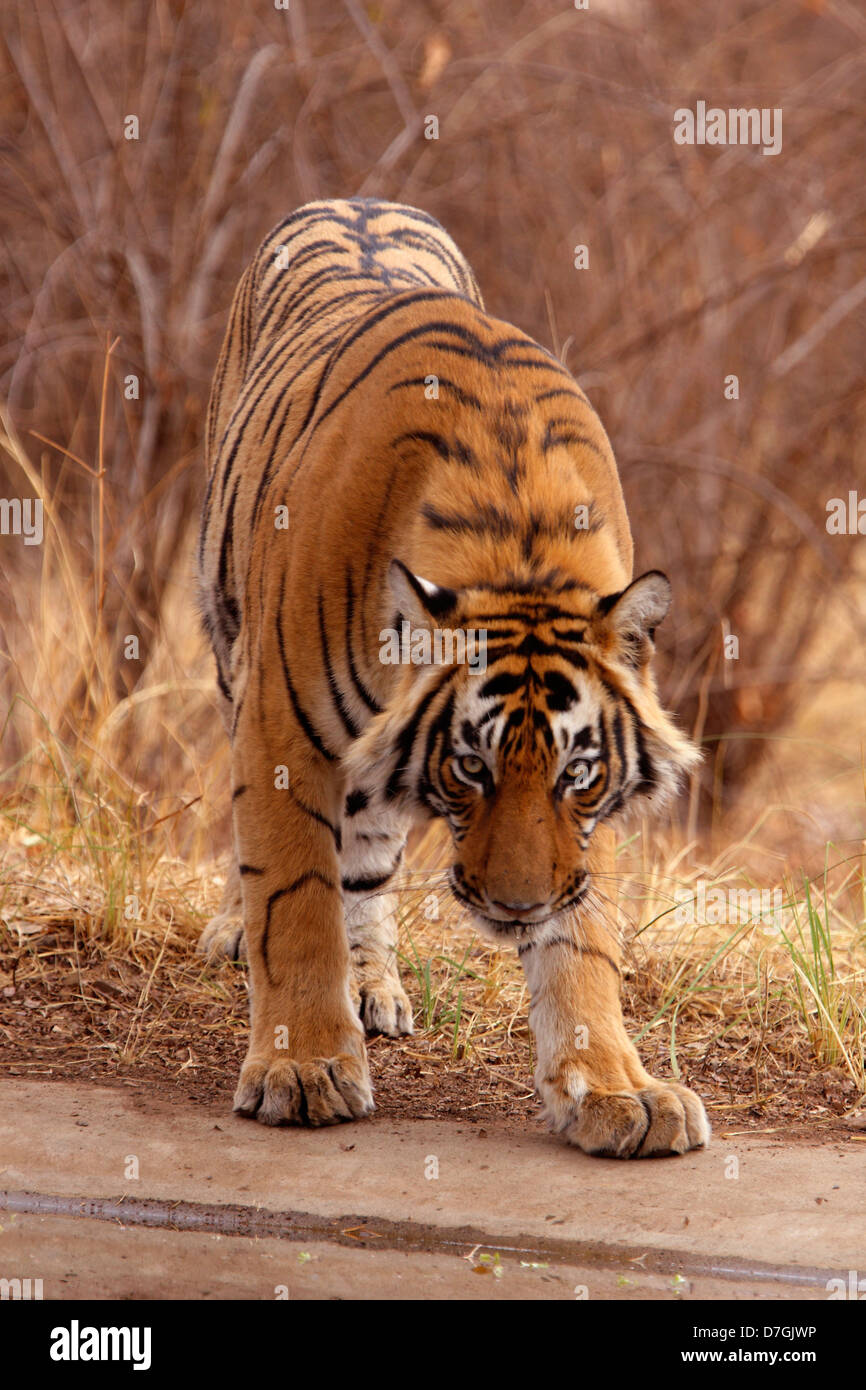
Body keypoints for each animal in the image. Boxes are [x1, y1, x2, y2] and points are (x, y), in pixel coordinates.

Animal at [197, 196, 709, 1159]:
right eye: (472, 766)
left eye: (577, 774)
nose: (518, 905)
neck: (520, 543)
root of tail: (354, 198)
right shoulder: (279, 722)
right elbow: (293, 894)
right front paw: (303, 1067)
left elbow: (584, 942)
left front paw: (618, 1089)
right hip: (229, 637)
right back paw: (248, 943)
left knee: (365, 859)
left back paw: (371, 985)